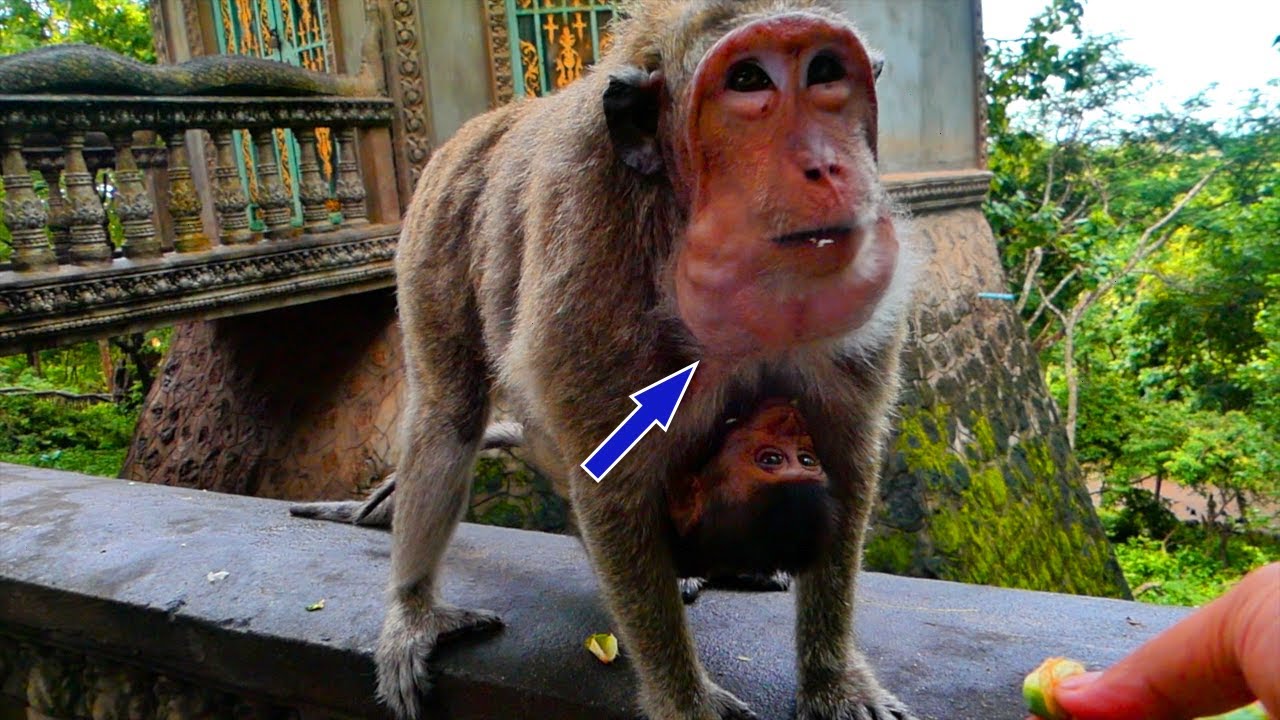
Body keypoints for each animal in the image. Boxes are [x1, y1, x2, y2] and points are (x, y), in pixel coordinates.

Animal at [368, 1, 920, 718]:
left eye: (824, 71)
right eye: (748, 80)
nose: (826, 166)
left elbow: (844, 458)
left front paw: (833, 679)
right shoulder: (594, 265)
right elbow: (613, 483)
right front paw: (683, 699)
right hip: (438, 218)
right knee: (449, 417)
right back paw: (413, 608)